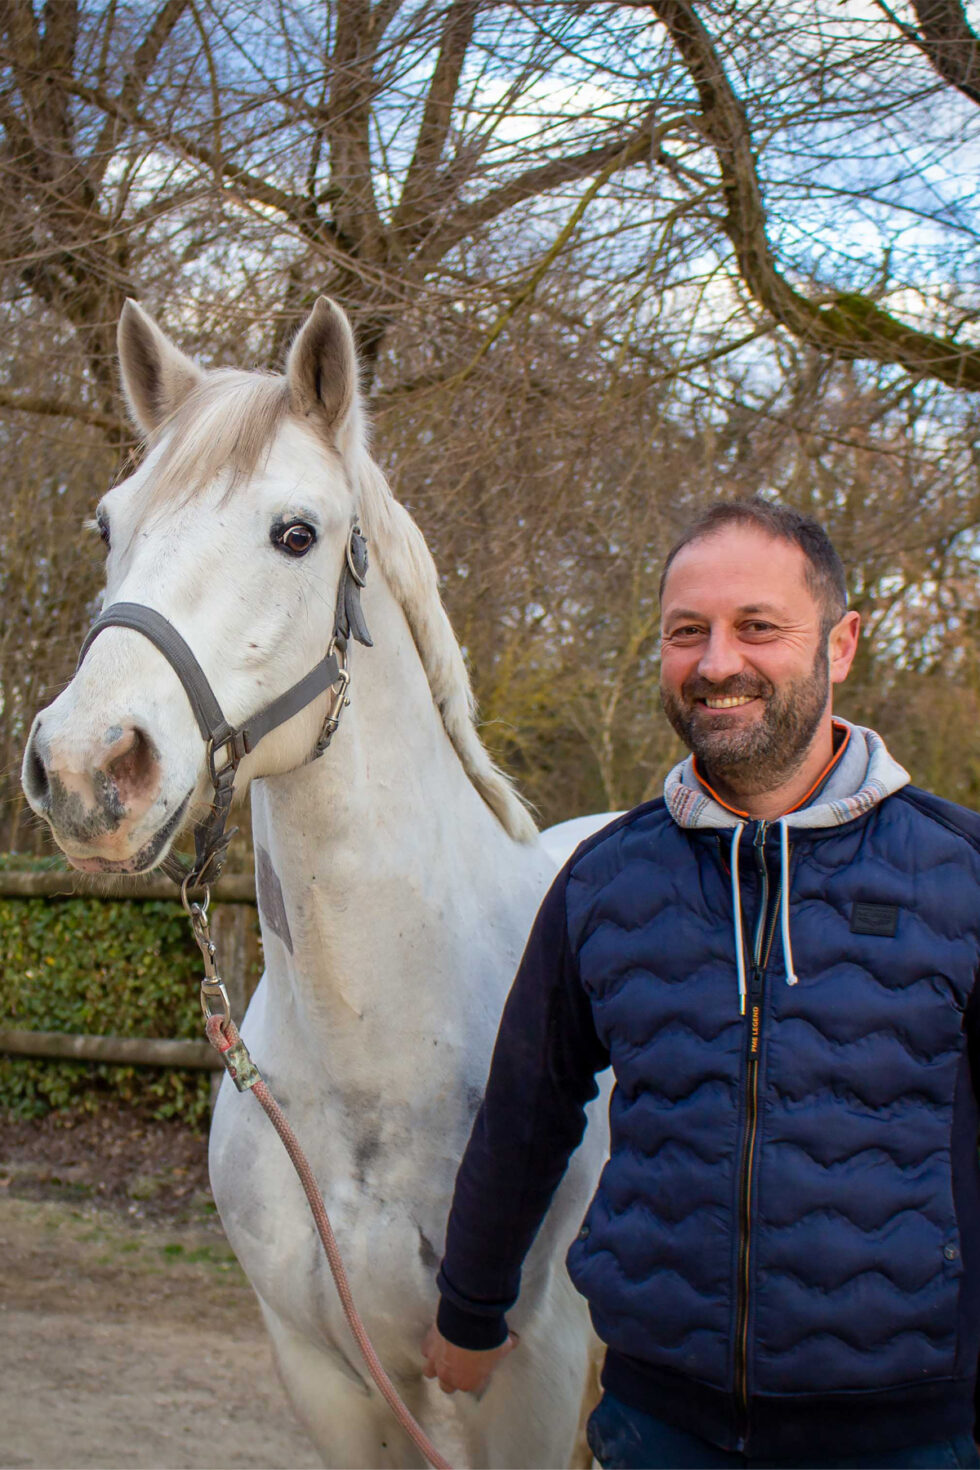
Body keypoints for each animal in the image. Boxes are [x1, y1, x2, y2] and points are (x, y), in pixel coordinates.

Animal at [21, 297, 610, 1468]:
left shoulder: (528, 1387)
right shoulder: (332, 1378)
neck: (378, 1067)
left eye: (296, 533)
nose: (82, 768)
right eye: (106, 528)